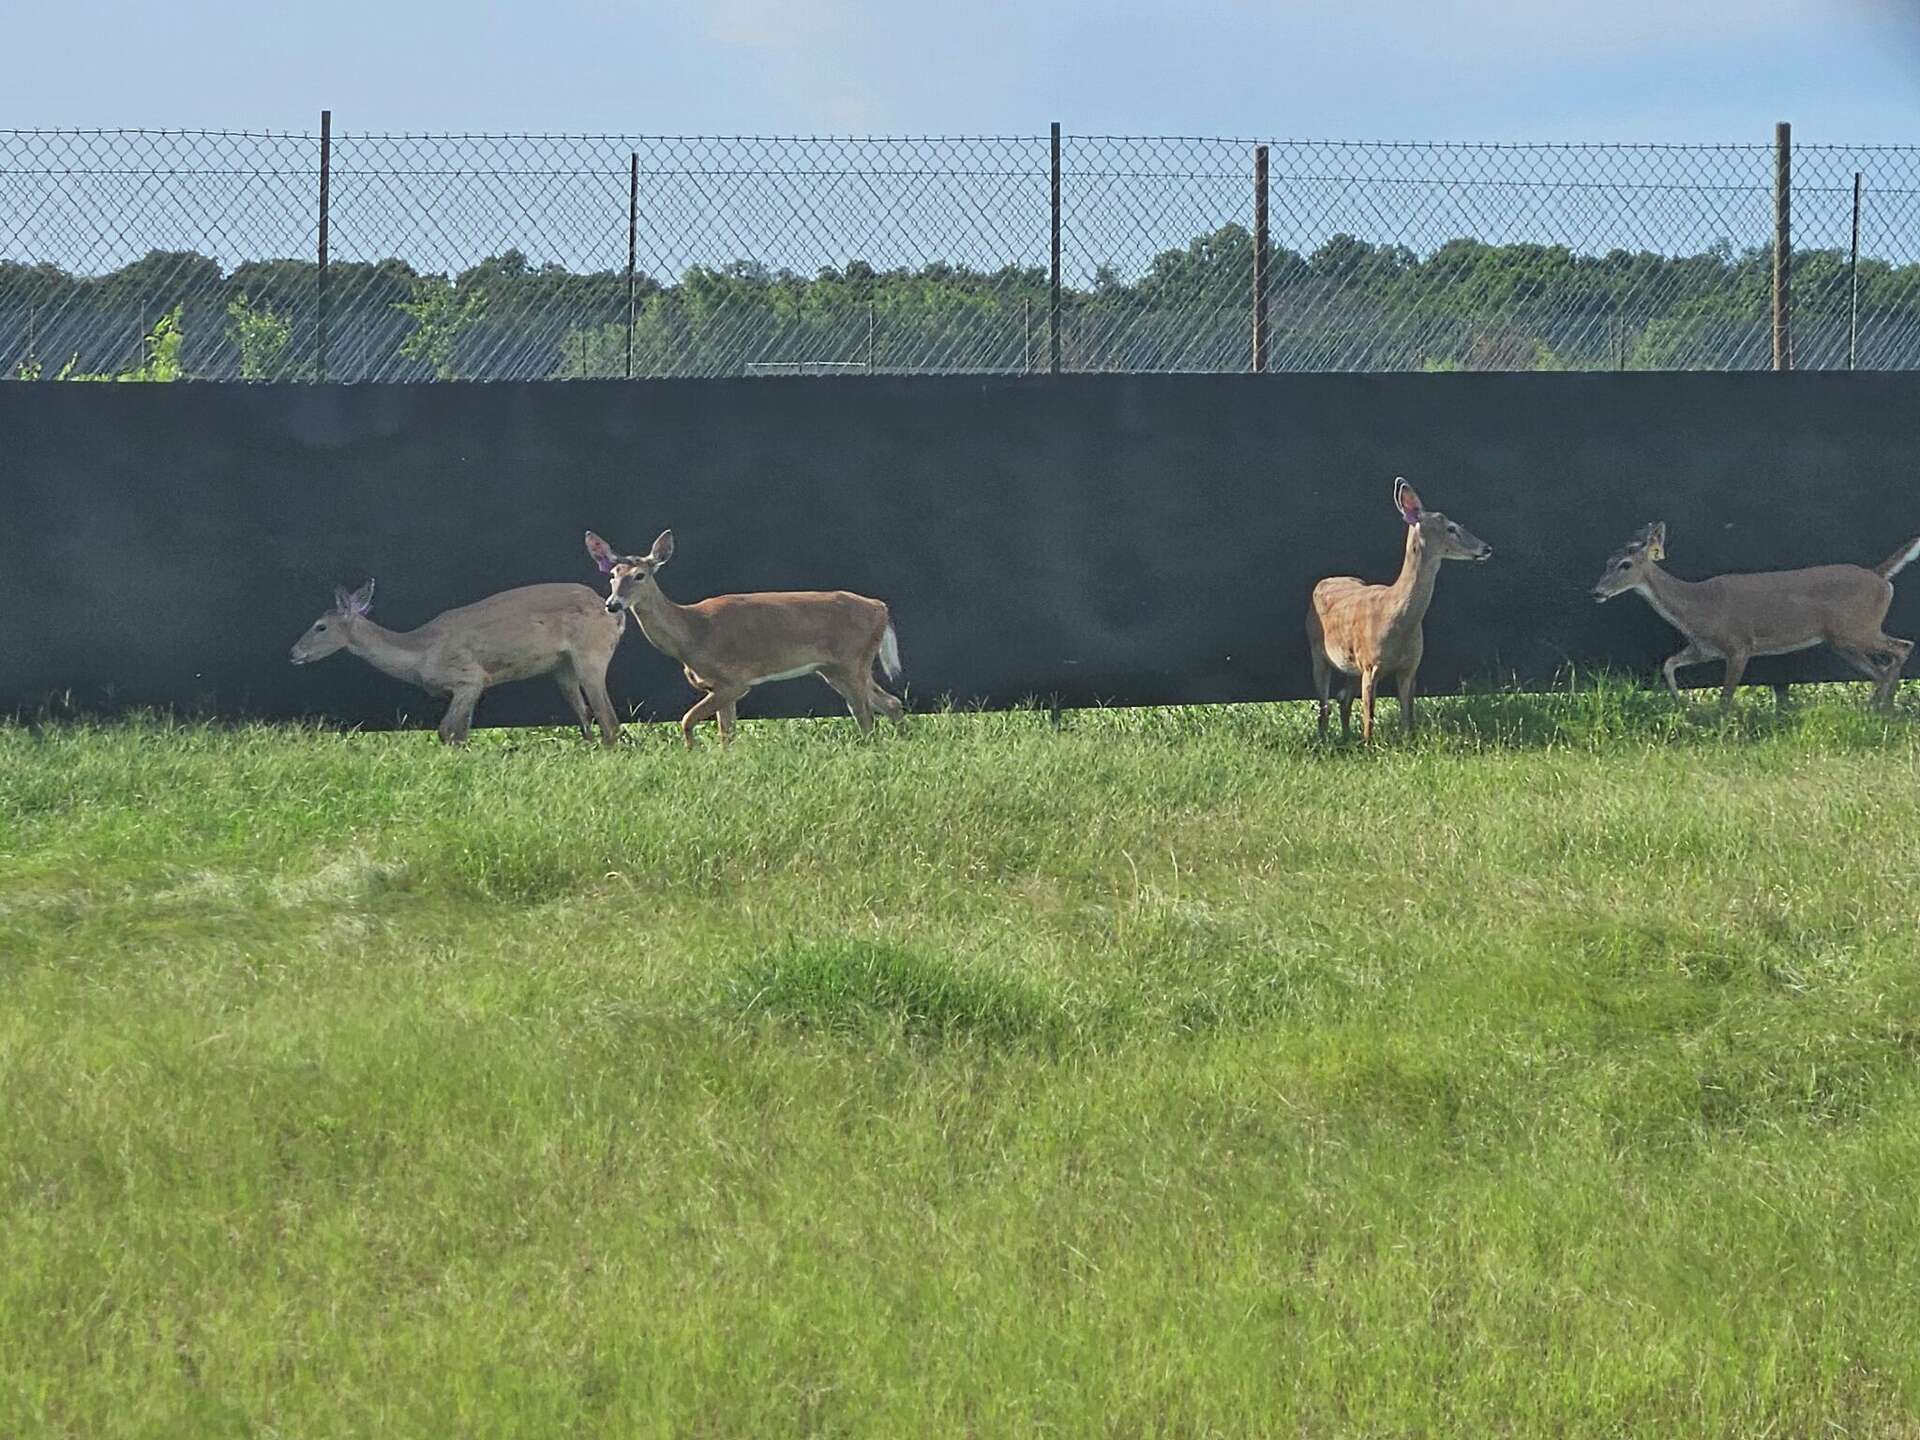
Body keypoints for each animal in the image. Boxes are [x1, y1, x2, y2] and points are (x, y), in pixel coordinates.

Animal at [288, 579, 627, 745]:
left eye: (320, 626)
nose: (293, 653)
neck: (420, 653)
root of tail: (613, 614)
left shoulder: (468, 678)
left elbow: (446, 730)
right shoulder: (468, 688)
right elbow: (460, 732)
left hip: (592, 654)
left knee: (609, 720)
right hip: (562, 667)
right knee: (587, 717)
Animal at [584, 530, 905, 748]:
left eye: (640, 575)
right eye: (613, 574)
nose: (612, 604)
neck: (691, 633)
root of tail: (881, 607)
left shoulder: (734, 681)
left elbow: (687, 720)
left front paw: (691, 752)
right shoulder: (718, 687)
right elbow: (727, 734)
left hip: (852, 661)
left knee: (866, 714)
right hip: (836, 669)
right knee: (889, 703)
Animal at [1306, 477, 1494, 741]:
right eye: (1451, 528)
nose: (1486, 548)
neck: (1394, 615)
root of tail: (1323, 582)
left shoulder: (1410, 666)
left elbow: (1408, 714)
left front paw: (1407, 740)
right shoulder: (1370, 663)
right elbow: (1369, 715)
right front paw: (1369, 744)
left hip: (1351, 665)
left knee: (1344, 701)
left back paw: (1346, 737)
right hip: (1318, 651)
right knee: (1324, 707)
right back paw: (1326, 739)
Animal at [1591, 521, 1920, 713]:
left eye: (1624, 564)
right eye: (1606, 562)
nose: (1596, 592)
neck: (1697, 606)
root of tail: (1880, 577)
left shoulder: (1739, 644)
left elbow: (1726, 696)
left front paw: (1719, 724)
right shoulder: (1704, 648)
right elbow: (1669, 664)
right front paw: (1682, 704)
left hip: (1857, 629)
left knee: (1902, 648)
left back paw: (1881, 709)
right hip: (1843, 641)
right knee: (1882, 668)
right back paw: (1878, 707)